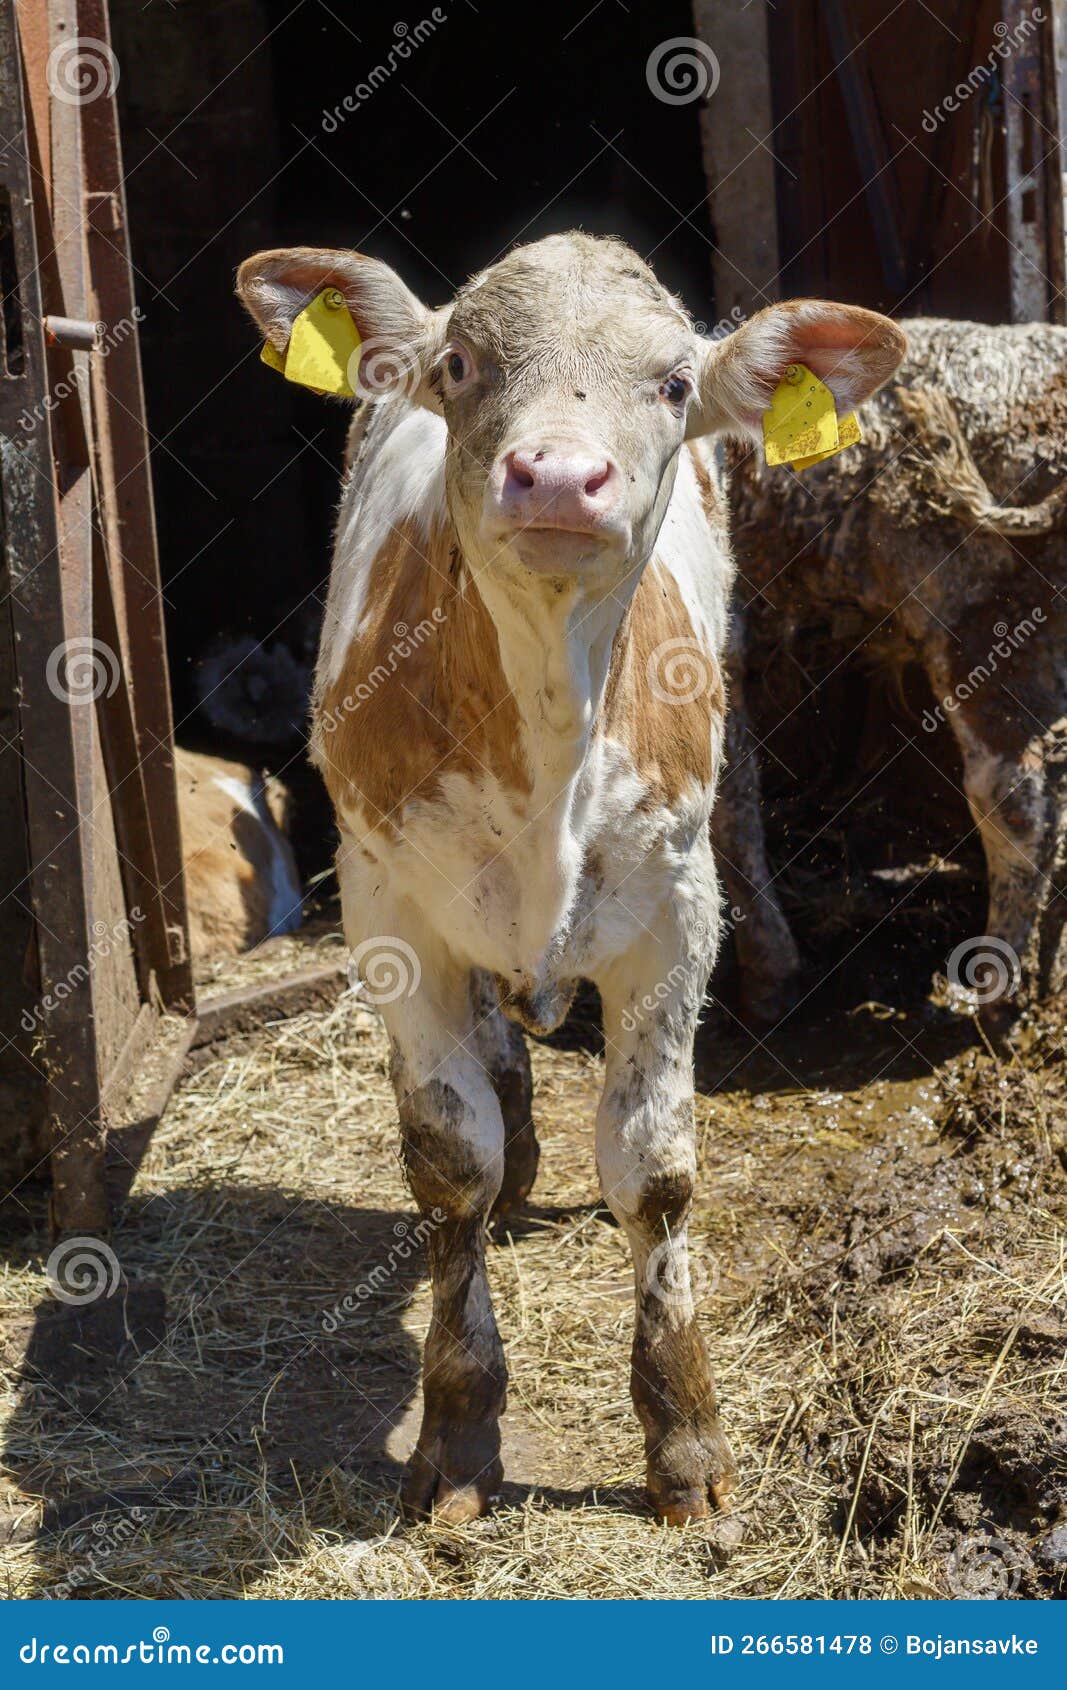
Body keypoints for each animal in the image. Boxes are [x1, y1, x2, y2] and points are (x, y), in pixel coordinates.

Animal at [236, 232, 904, 1525]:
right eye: (459, 364)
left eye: (674, 384)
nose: (554, 478)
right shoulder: (388, 907)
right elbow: (450, 1161)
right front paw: (456, 1437)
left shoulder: (676, 912)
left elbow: (652, 1165)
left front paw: (684, 1441)